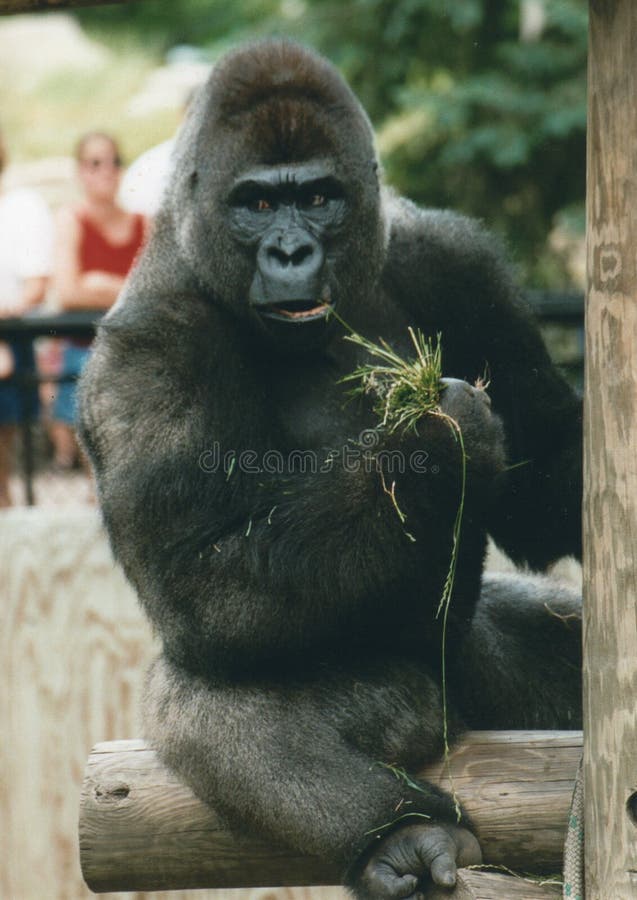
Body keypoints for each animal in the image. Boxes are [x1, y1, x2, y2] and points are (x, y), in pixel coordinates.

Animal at [79, 40, 581, 898]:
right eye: (254, 205)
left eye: (317, 198)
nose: (289, 252)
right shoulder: (148, 343)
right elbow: (198, 580)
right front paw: (432, 449)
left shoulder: (457, 258)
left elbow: (545, 478)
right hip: (403, 712)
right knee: (202, 702)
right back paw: (399, 834)